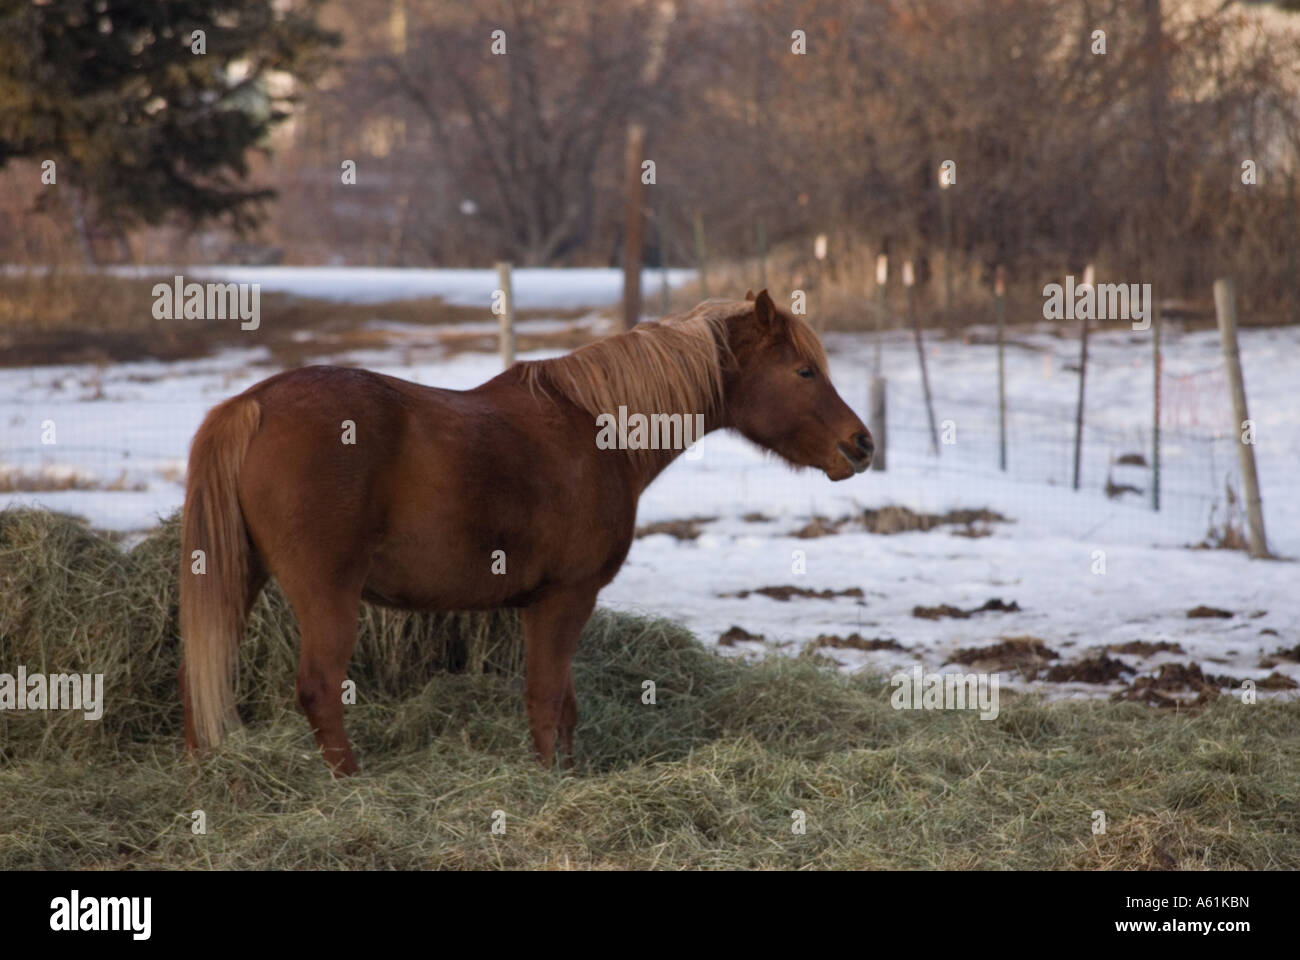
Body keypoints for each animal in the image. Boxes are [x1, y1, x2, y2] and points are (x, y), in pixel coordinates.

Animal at [179, 290, 873, 776]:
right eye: (804, 371)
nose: (861, 445)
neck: (595, 429)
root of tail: (251, 406)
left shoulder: (547, 605)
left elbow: (562, 702)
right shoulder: (564, 599)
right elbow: (547, 701)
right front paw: (551, 780)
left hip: (240, 579)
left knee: (201, 674)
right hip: (328, 596)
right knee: (319, 689)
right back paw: (351, 784)